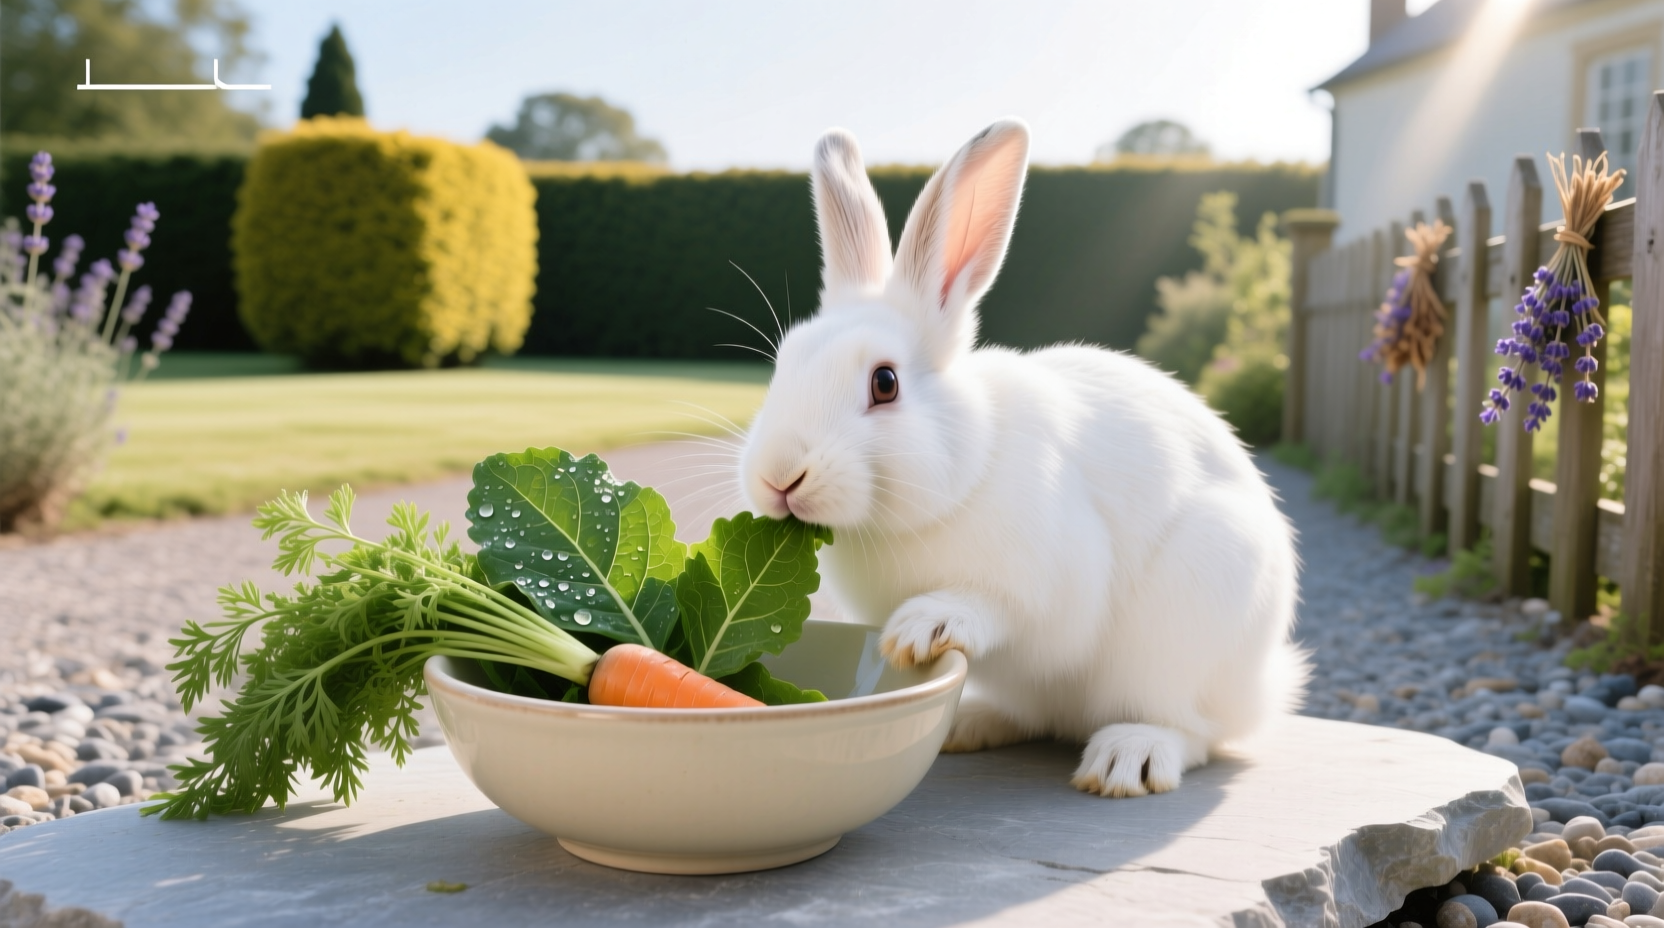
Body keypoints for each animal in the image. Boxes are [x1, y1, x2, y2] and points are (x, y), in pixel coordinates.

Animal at [737, 118, 1306, 797]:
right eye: (784, 364)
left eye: (885, 383)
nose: (779, 477)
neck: (967, 472)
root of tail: (1263, 686)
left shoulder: (1051, 581)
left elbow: (999, 607)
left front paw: (923, 627)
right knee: (1036, 716)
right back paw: (969, 724)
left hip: (1186, 633)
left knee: (1193, 731)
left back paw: (1129, 757)